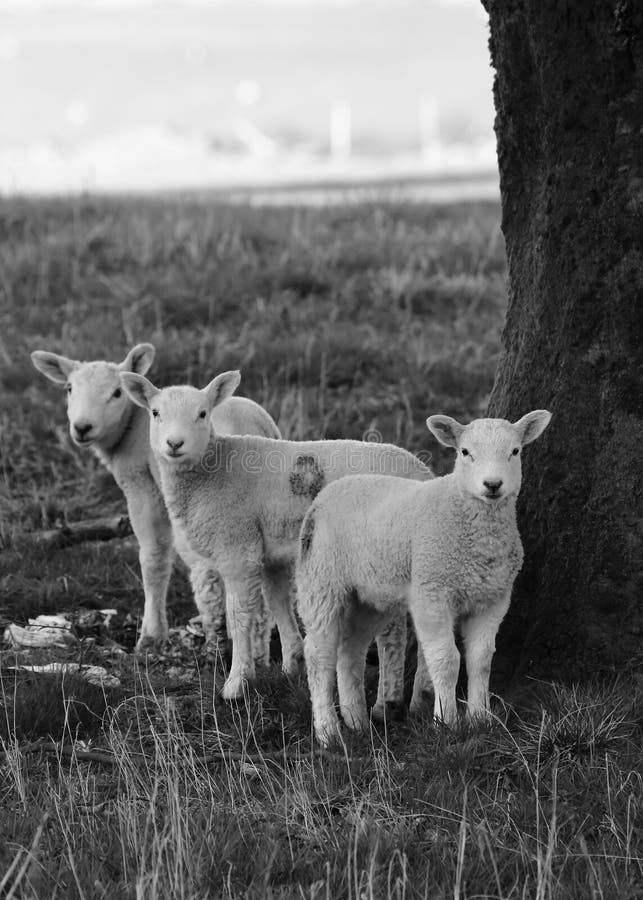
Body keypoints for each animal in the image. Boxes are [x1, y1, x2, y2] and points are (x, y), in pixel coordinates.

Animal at [30, 343, 280, 659]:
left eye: (116, 393)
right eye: (69, 388)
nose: (82, 427)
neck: (133, 426)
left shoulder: (140, 484)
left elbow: (153, 557)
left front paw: (151, 636)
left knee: (208, 574)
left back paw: (218, 640)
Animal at [120, 368, 434, 703]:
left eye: (203, 414)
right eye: (155, 413)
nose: (174, 443)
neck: (212, 471)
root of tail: (426, 474)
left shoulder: (236, 546)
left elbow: (239, 616)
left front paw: (236, 684)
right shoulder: (269, 552)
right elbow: (277, 602)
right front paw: (289, 666)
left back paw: (407, 698)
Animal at [295, 410, 552, 746]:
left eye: (515, 451)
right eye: (465, 452)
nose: (493, 484)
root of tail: (325, 494)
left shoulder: (493, 599)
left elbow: (481, 659)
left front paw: (480, 719)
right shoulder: (432, 593)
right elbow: (447, 660)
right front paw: (447, 723)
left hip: (369, 596)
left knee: (350, 651)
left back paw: (357, 722)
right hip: (322, 578)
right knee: (318, 655)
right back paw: (328, 732)